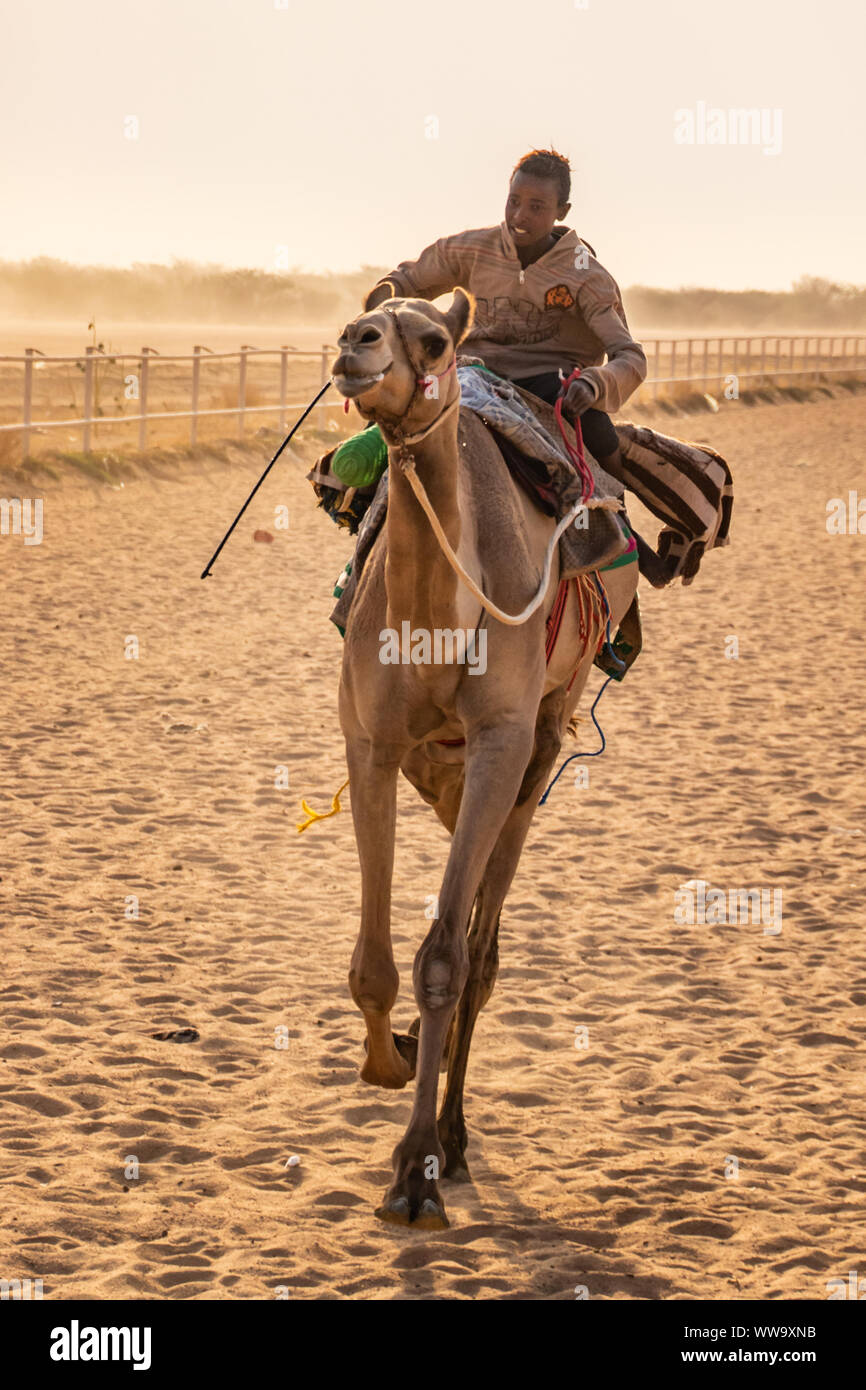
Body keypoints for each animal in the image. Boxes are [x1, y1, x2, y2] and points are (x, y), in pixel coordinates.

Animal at [330, 289, 638, 1229]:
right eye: (368, 311)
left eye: (433, 340)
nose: (354, 345)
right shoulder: (370, 740)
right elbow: (374, 962)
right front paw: (387, 1061)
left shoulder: (503, 740)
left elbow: (444, 961)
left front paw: (415, 1170)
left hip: (542, 746)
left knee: (482, 951)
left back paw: (457, 1140)